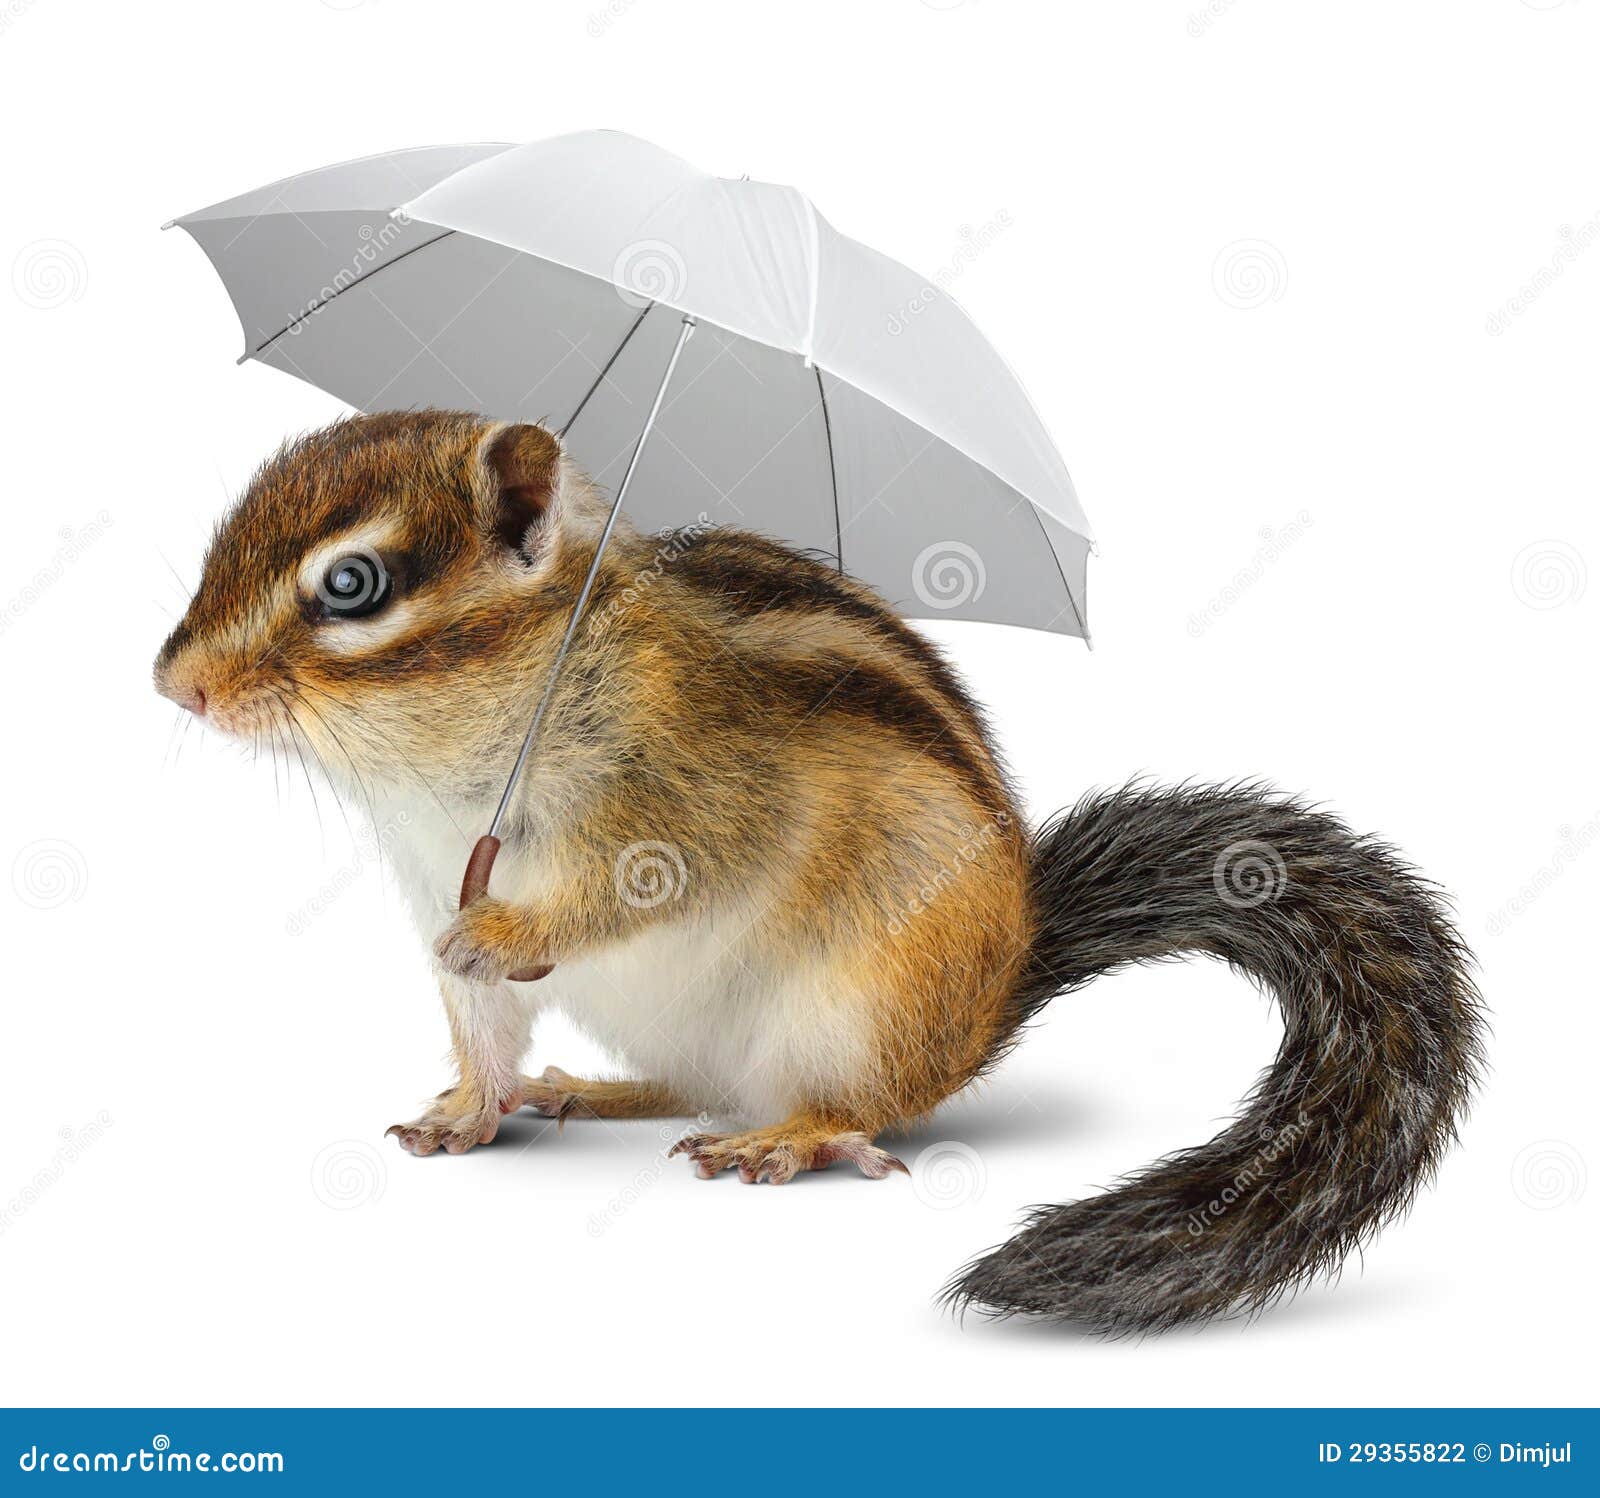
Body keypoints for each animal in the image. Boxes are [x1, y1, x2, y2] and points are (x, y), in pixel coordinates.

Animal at [154, 410, 1485, 1334]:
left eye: (352, 584)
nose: (175, 684)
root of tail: (993, 997)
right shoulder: (441, 867)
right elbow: (479, 1023)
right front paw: (467, 1107)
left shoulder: (688, 788)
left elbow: (643, 886)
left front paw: (507, 939)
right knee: (697, 1083)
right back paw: (595, 1091)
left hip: (858, 1004)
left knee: (852, 1104)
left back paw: (788, 1140)